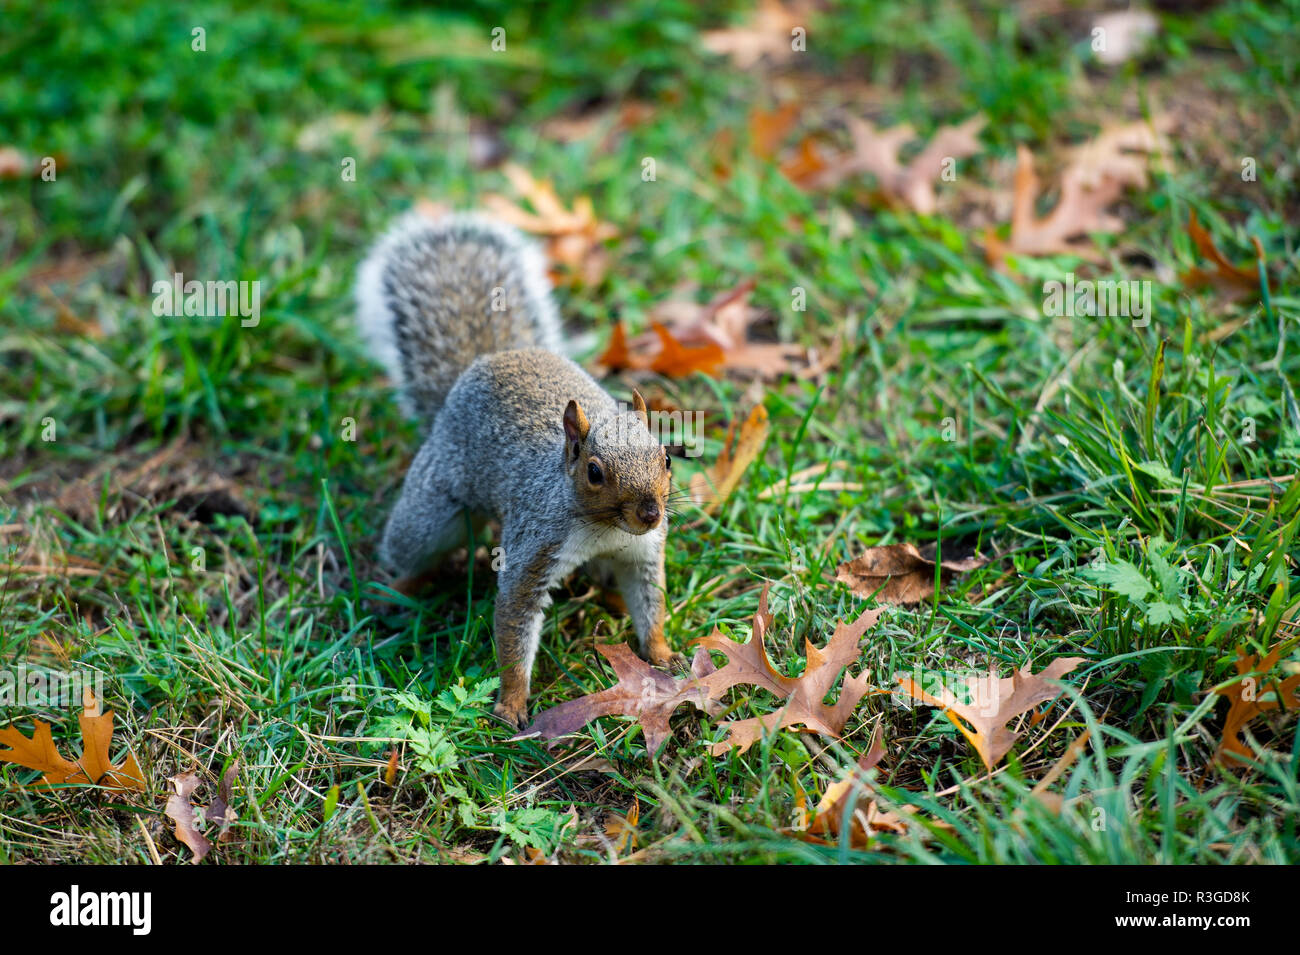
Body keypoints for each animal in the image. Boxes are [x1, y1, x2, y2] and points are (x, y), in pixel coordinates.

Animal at [356, 211, 676, 728]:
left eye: (666, 458)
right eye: (594, 472)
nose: (651, 513)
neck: (604, 529)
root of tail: (482, 363)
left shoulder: (640, 552)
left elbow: (650, 603)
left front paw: (663, 653)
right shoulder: (535, 545)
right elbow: (514, 621)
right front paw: (511, 702)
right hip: (432, 509)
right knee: (411, 547)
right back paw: (395, 589)